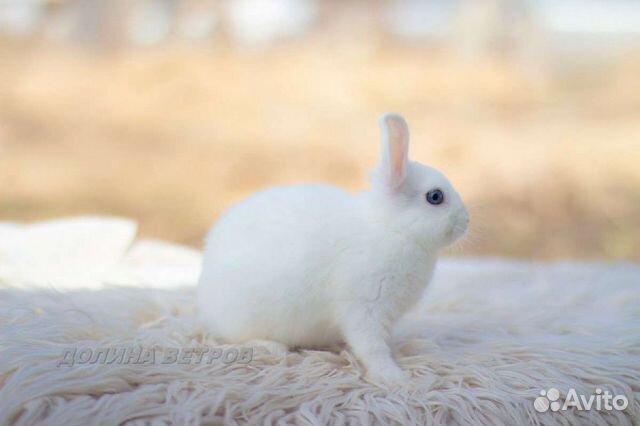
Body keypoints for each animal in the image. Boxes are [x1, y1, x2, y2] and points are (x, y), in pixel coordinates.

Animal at [197, 113, 469, 384]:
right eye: (435, 197)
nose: (466, 221)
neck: (391, 228)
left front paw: (408, 351)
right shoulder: (364, 307)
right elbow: (372, 347)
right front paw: (394, 378)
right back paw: (272, 347)